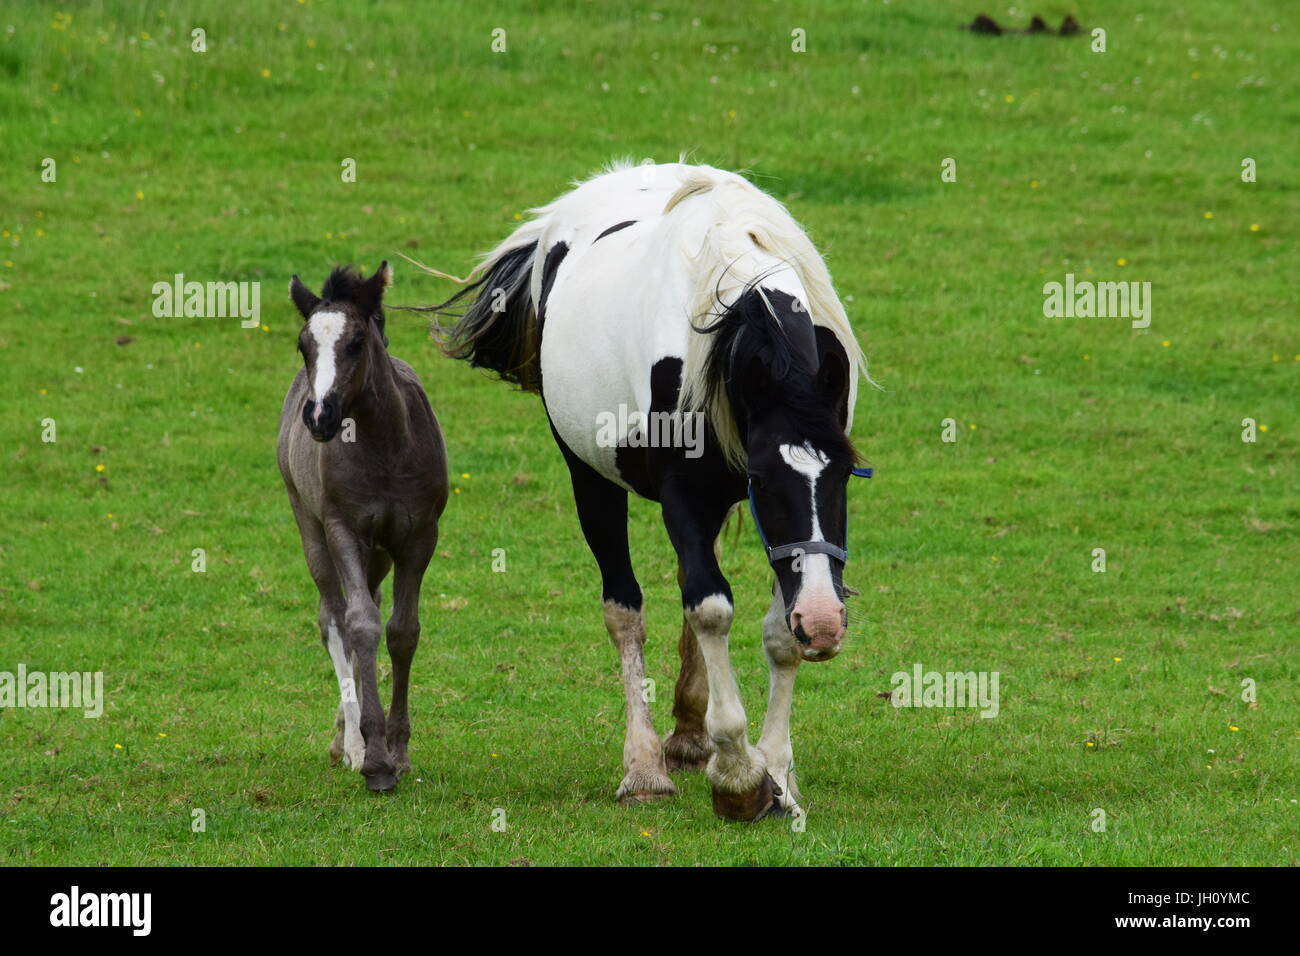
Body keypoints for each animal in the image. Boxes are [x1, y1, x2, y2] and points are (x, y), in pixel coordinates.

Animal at [277, 262, 449, 792]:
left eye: (356, 342)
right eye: (303, 345)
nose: (319, 415)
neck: (385, 450)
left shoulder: (419, 538)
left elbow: (402, 631)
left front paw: (399, 749)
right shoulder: (344, 531)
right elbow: (360, 625)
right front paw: (374, 758)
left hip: (380, 554)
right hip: (312, 527)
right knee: (334, 617)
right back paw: (350, 743)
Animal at [424, 162, 871, 820]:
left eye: (844, 474)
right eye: (763, 478)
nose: (823, 622)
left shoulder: (777, 538)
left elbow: (770, 632)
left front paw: (777, 774)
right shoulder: (686, 498)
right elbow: (710, 609)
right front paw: (738, 776)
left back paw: (687, 736)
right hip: (591, 482)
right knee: (626, 610)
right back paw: (644, 768)